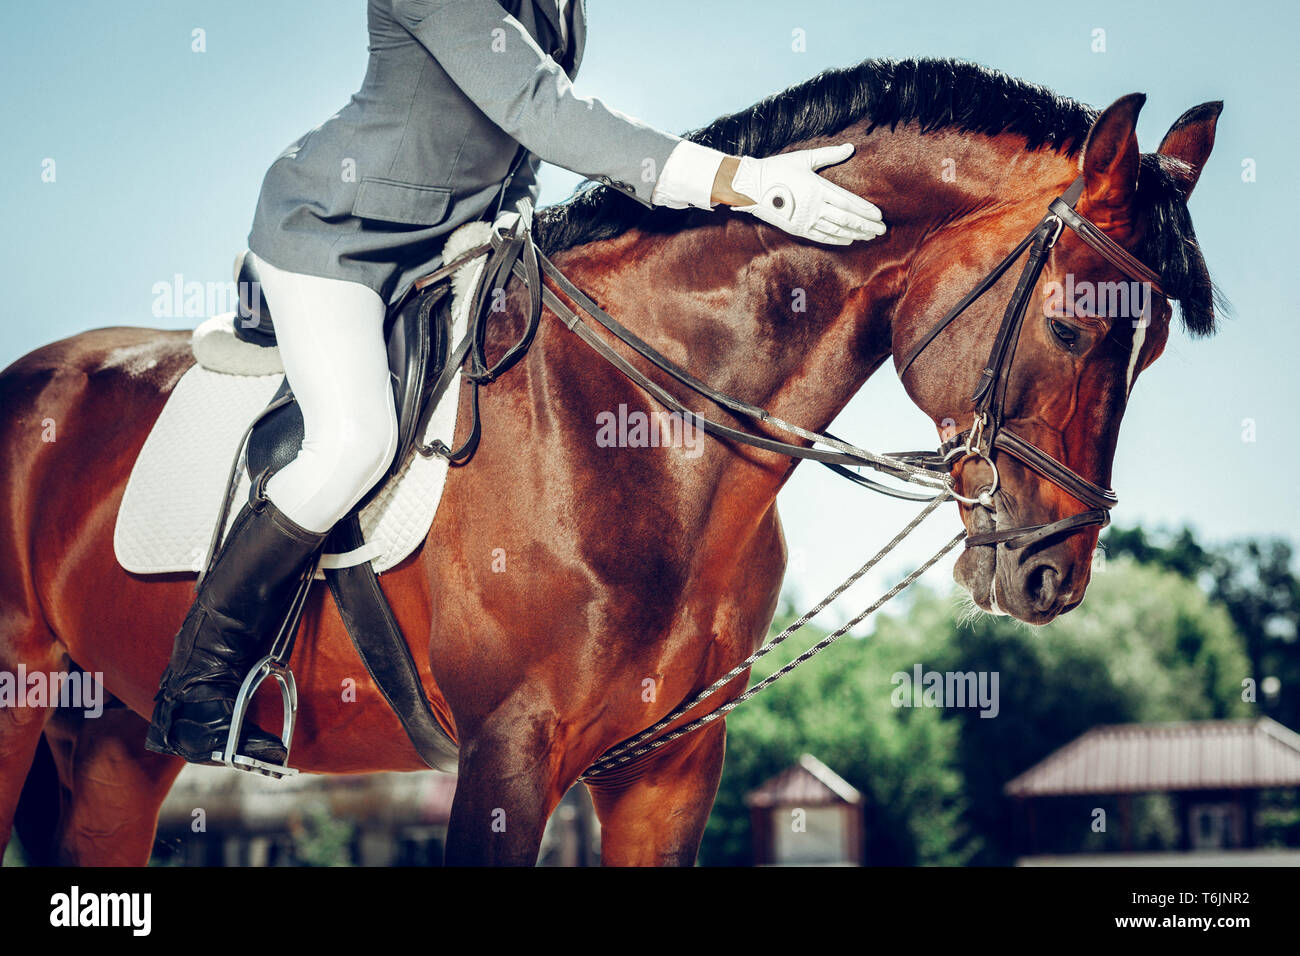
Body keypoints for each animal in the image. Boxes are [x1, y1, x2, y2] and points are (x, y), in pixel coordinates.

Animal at [0, 58, 1219, 865]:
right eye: (1071, 325)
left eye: (1153, 348)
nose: (1050, 575)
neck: (652, 431)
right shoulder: (507, 758)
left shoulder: (666, 767)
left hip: (115, 738)